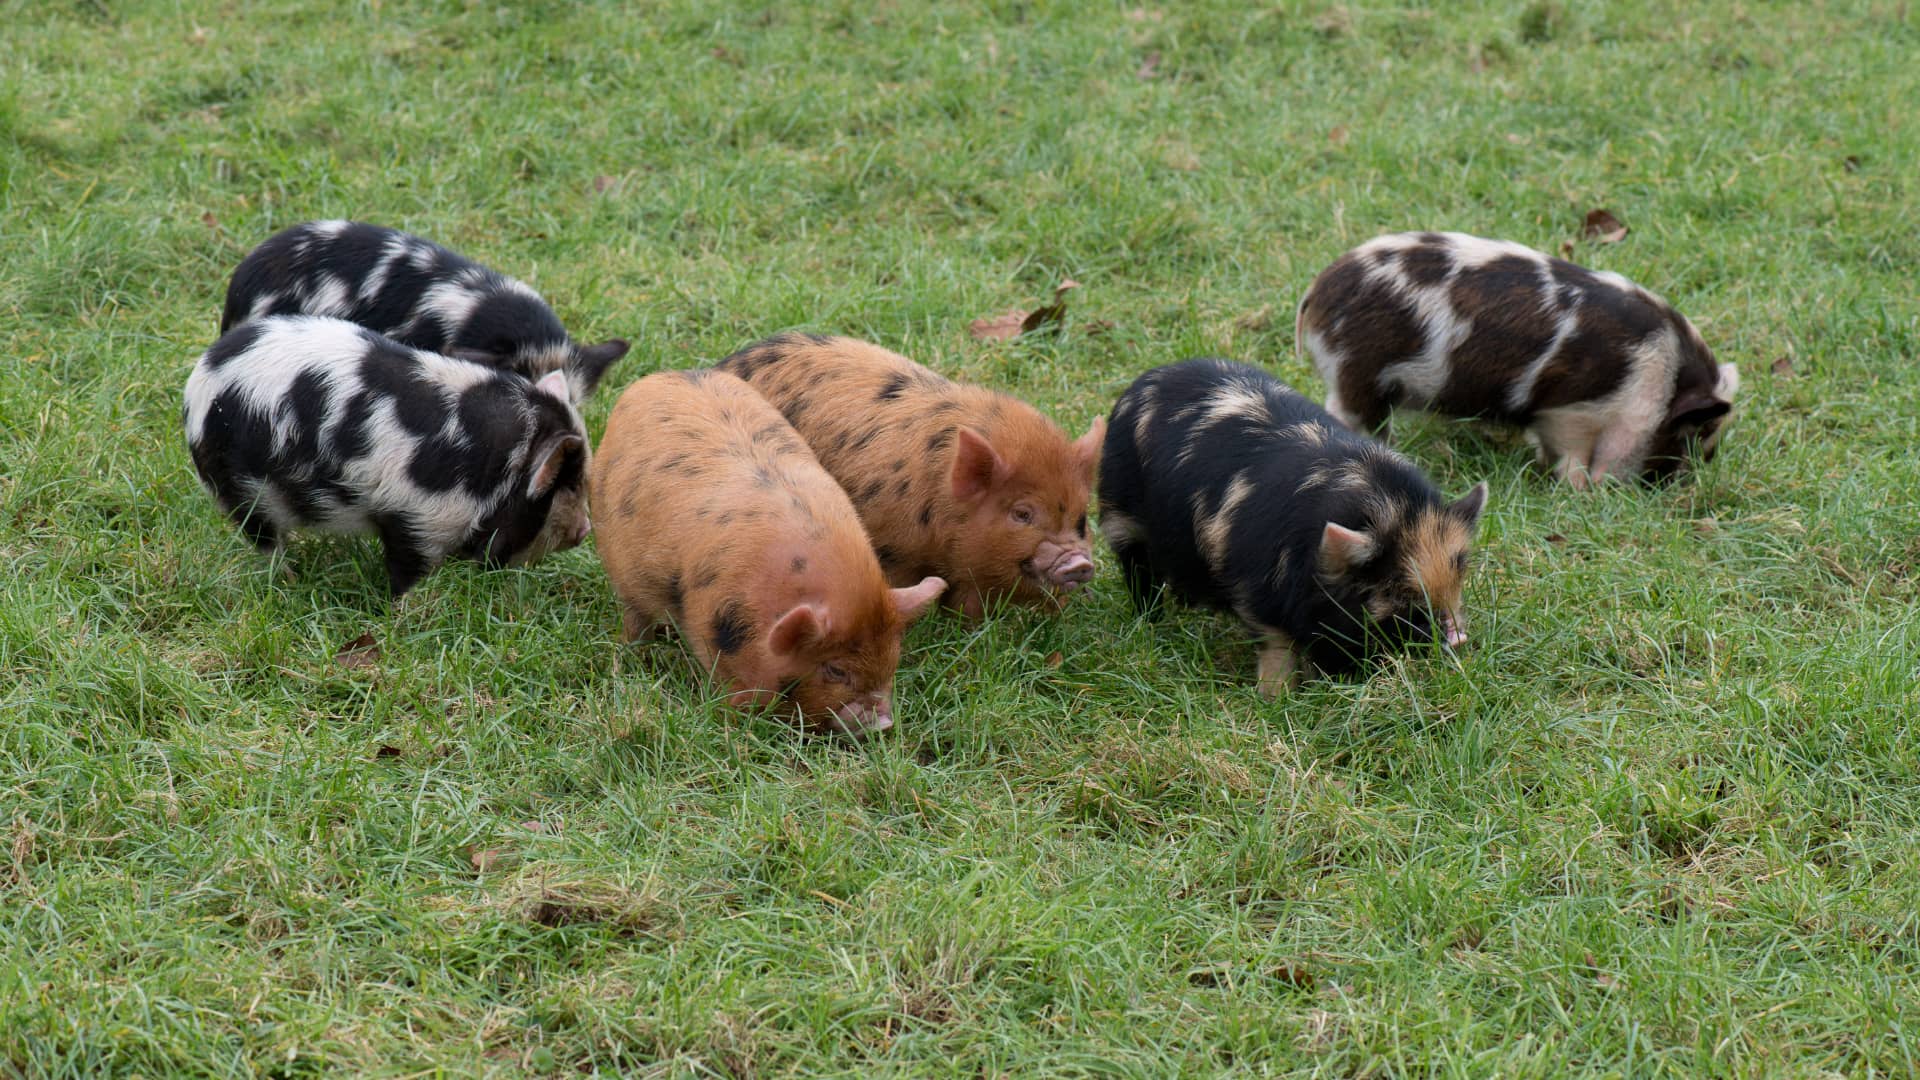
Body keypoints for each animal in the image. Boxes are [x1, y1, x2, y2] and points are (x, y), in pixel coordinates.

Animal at [183, 315, 592, 597]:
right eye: (569, 483)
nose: (586, 530)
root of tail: (202, 372)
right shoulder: (418, 516)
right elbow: (408, 572)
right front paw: (407, 615)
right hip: (236, 488)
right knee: (263, 538)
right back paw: (289, 581)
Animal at [1098, 358, 1489, 696]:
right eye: (1402, 596)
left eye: (1457, 582)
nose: (1459, 637)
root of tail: (1144, 381)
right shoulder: (1256, 589)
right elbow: (1277, 646)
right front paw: (1274, 697)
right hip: (1121, 517)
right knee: (1138, 571)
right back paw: (1151, 620)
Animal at [1296, 231, 1739, 488]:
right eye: (1694, 434)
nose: (1678, 484)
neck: (1660, 377)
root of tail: (1315, 293)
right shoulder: (1575, 410)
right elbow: (1574, 456)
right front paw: (1581, 492)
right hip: (1358, 372)